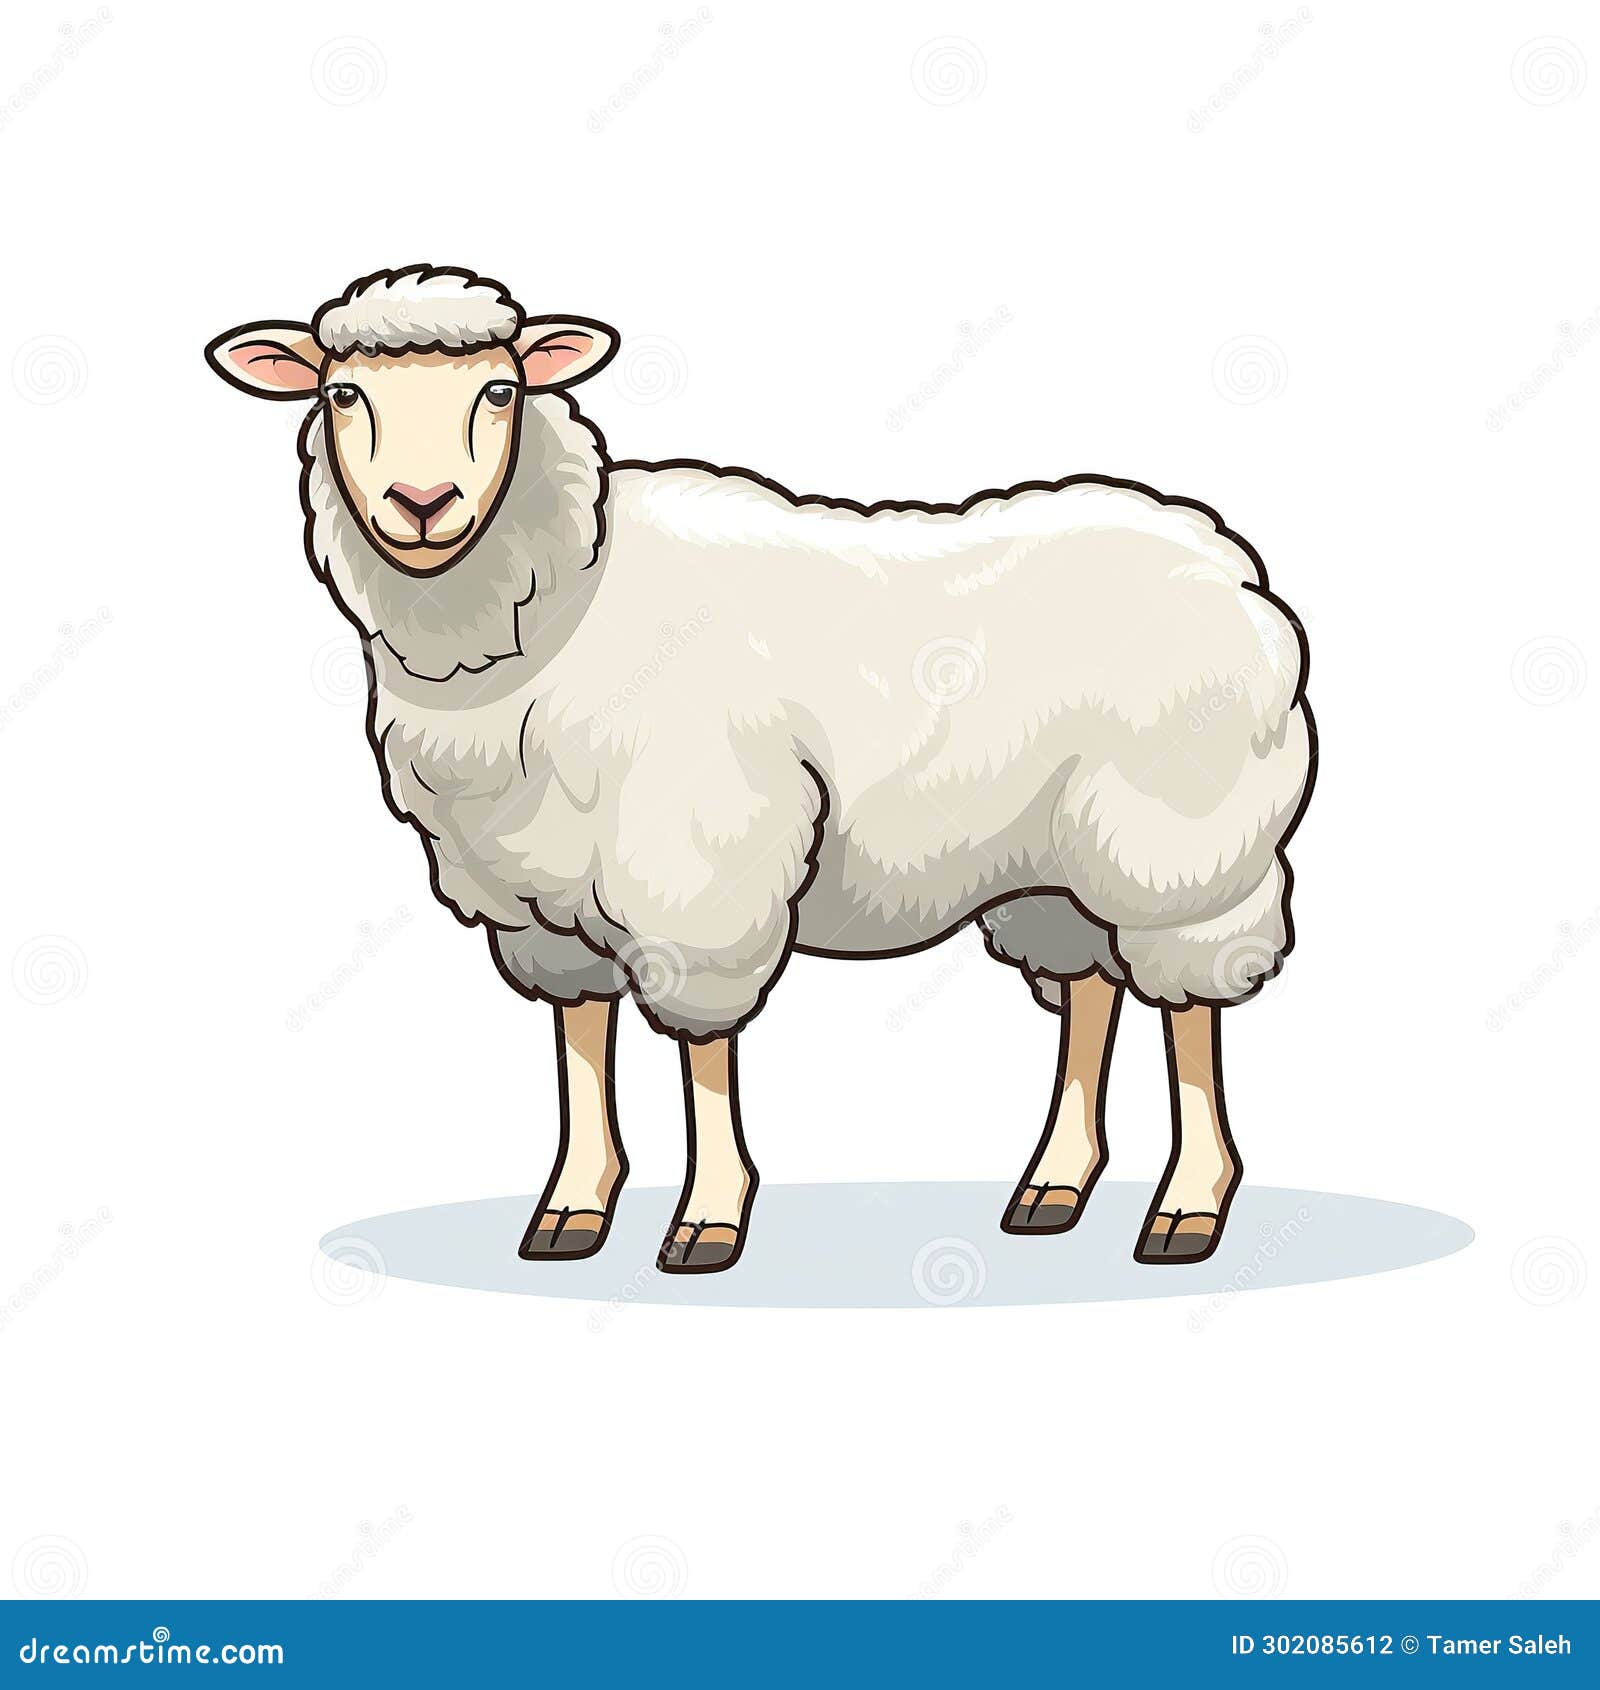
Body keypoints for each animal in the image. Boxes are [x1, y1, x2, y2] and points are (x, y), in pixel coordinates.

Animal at [207, 265, 1315, 1275]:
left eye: (501, 392)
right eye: (341, 396)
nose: (422, 504)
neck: (560, 606)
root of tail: (1225, 563)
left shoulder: (696, 869)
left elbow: (703, 1054)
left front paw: (707, 1218)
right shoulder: (539, 900)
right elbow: (581, 1041)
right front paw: (573, 1207)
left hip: (1186, 844)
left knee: (1190, 1007)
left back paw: (1187, 1207)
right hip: (1055, 866)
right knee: (1091, 991)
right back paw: (1052, 1187)